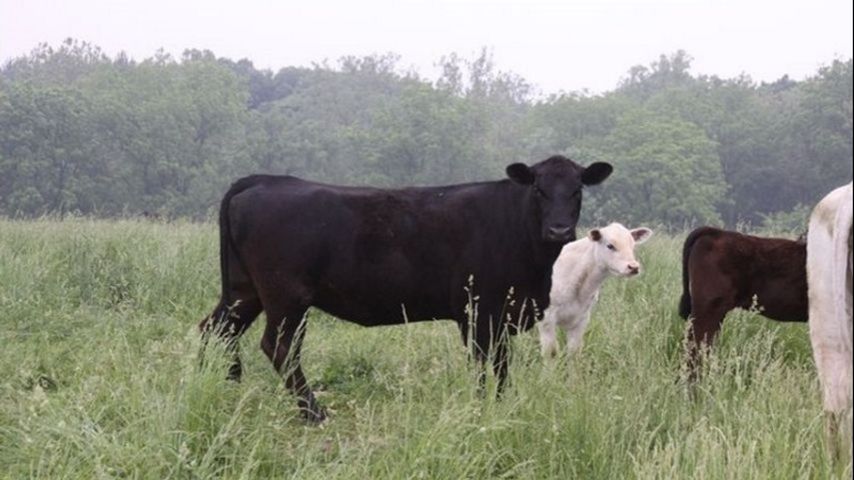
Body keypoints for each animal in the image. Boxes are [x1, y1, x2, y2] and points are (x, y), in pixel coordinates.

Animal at [199, 155, 613, 422]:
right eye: (539, 190)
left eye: (577, 190)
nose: (559, 230)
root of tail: (265, 180)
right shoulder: (480, 309)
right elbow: (486, 362)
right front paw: (486, 405)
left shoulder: (500, 312)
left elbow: (500, 362)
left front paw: (503, 401)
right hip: (285, 296)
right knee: (279, 346)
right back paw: (313, 411)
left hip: (244, 290)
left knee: (215, 328)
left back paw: (220, 384)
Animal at [538, 223, 653, 359]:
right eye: (610, 245)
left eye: (632, 245)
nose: (633, 267)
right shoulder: (547, 318)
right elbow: (551, 352)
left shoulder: (582, 319)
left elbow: (574, 352)